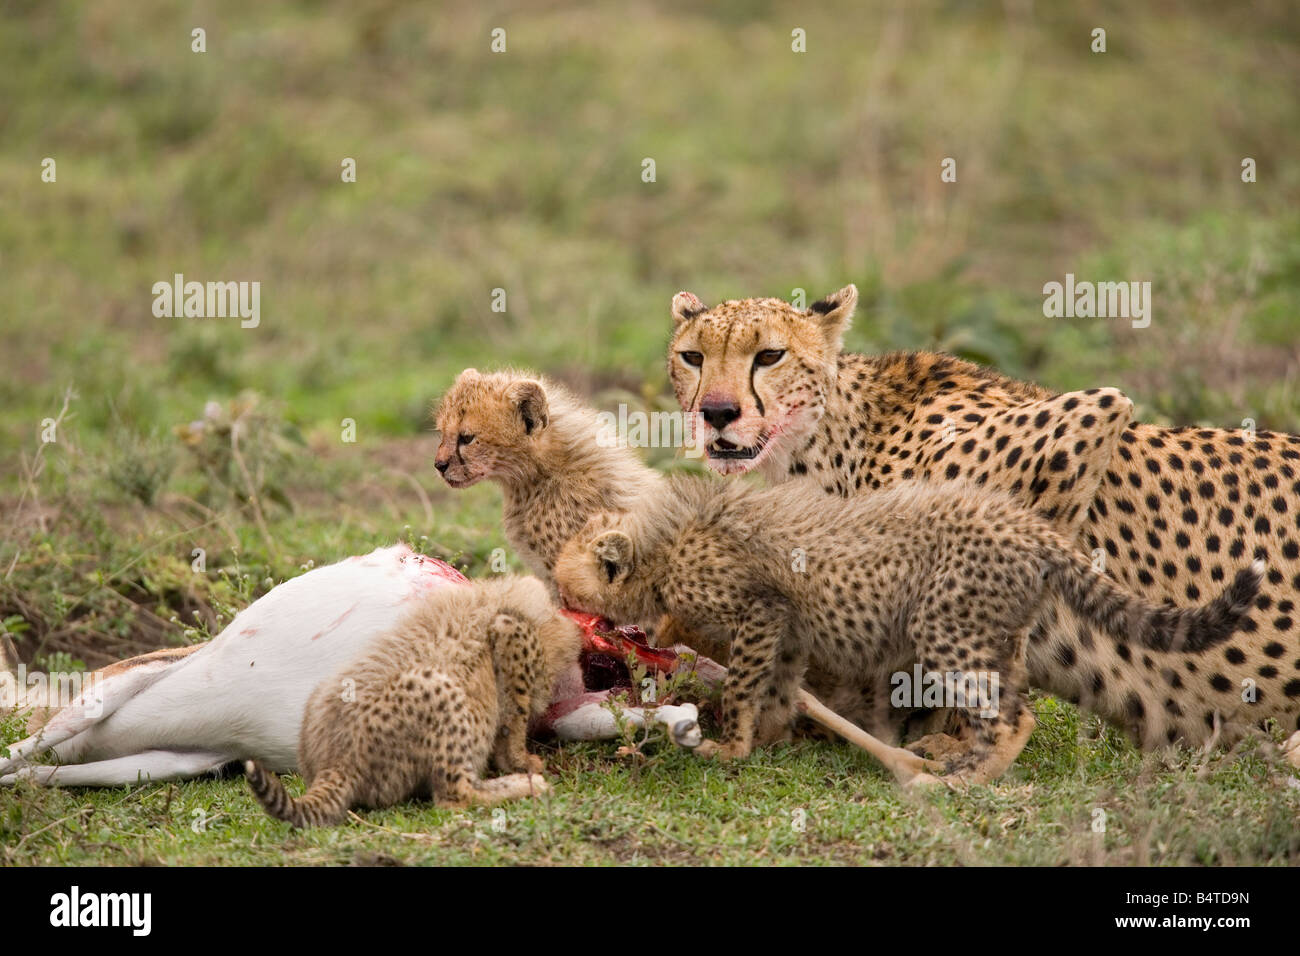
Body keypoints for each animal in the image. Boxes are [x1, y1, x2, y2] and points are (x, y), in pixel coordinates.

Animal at [245, 575, 579, 827]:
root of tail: (333, 763)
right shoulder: (509, 630)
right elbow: (516, 715)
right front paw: (521, 761)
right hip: (439, 687)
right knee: (454, 796)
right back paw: (527, 786)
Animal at [553, 475, 1262, 784]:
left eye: (569, 593)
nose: (563, 610)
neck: (662, 542)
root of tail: (1028, 526)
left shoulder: (761, 610)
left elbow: (747, 684)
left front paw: (735, 744)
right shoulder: (786, 628)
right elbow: (777, 685)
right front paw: (769, 738)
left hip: (942, 624)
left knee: (1016, 715)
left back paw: (966, 776)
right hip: (994, 633)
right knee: (1008, 697)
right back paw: (953, 752)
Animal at [667, 284, 1300, 763]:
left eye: (769, 356)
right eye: (692, 358)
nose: (717, 412)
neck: (829, 444)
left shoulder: (1087, 415)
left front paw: (952, 735)